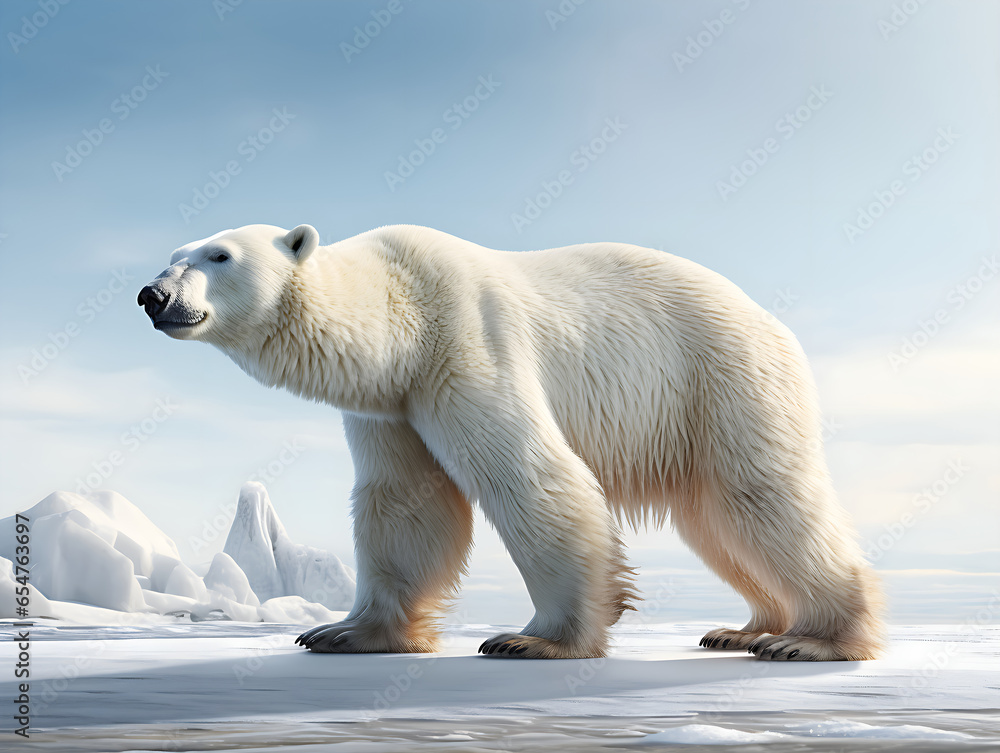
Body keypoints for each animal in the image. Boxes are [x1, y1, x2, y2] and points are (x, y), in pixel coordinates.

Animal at [139, 223, 885, 661]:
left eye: (219, 255)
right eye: (173, 255)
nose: (153, 295)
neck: (399, 310)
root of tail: (774, 324)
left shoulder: (464, 343)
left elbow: (529, 478)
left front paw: (536, 638)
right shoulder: (392, 403)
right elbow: (405, 504)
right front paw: (343, 630)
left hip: (720, 379)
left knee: (761, 496)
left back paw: (812, 640)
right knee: (716, 524)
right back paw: (745, 628)